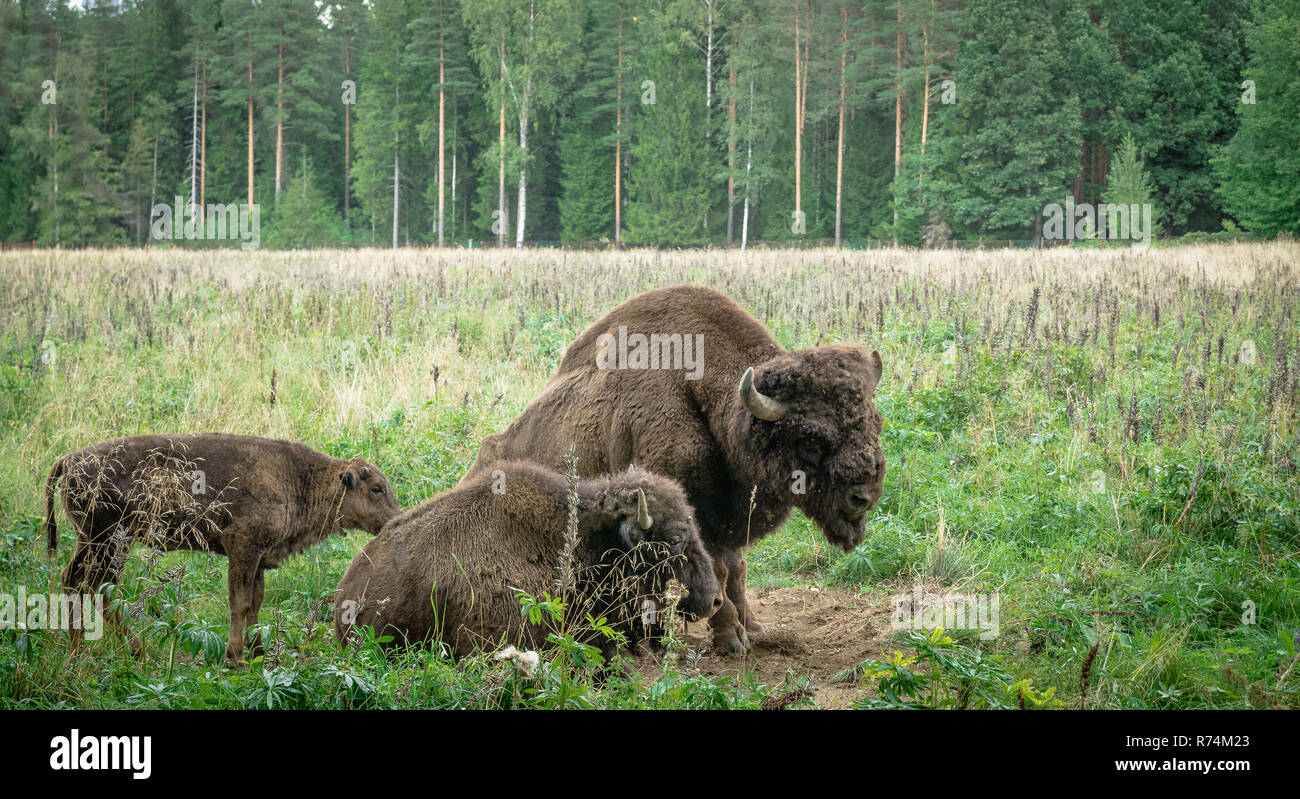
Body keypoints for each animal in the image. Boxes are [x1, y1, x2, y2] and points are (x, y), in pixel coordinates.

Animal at [45, 433, 399, 664]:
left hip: (92, 541)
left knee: (73, 581)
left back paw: (77, 650)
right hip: (109, 541)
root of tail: (69, 460)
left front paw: (258, 652)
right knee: (95, 587)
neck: (302, 478)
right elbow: (239, 603)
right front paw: (236, 657)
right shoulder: (242, 549)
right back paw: (131, 651)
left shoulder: (258, 559)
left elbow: (256, 603)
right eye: (376, 488)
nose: (395, 518)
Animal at [466, 285, 885, 653]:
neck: (709, 398)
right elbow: (719, 575)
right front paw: (732, 640)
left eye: (874, 422)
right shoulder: (691, 520)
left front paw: (753, 627)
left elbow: (737, 571)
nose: (863, 496)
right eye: (809, 439)